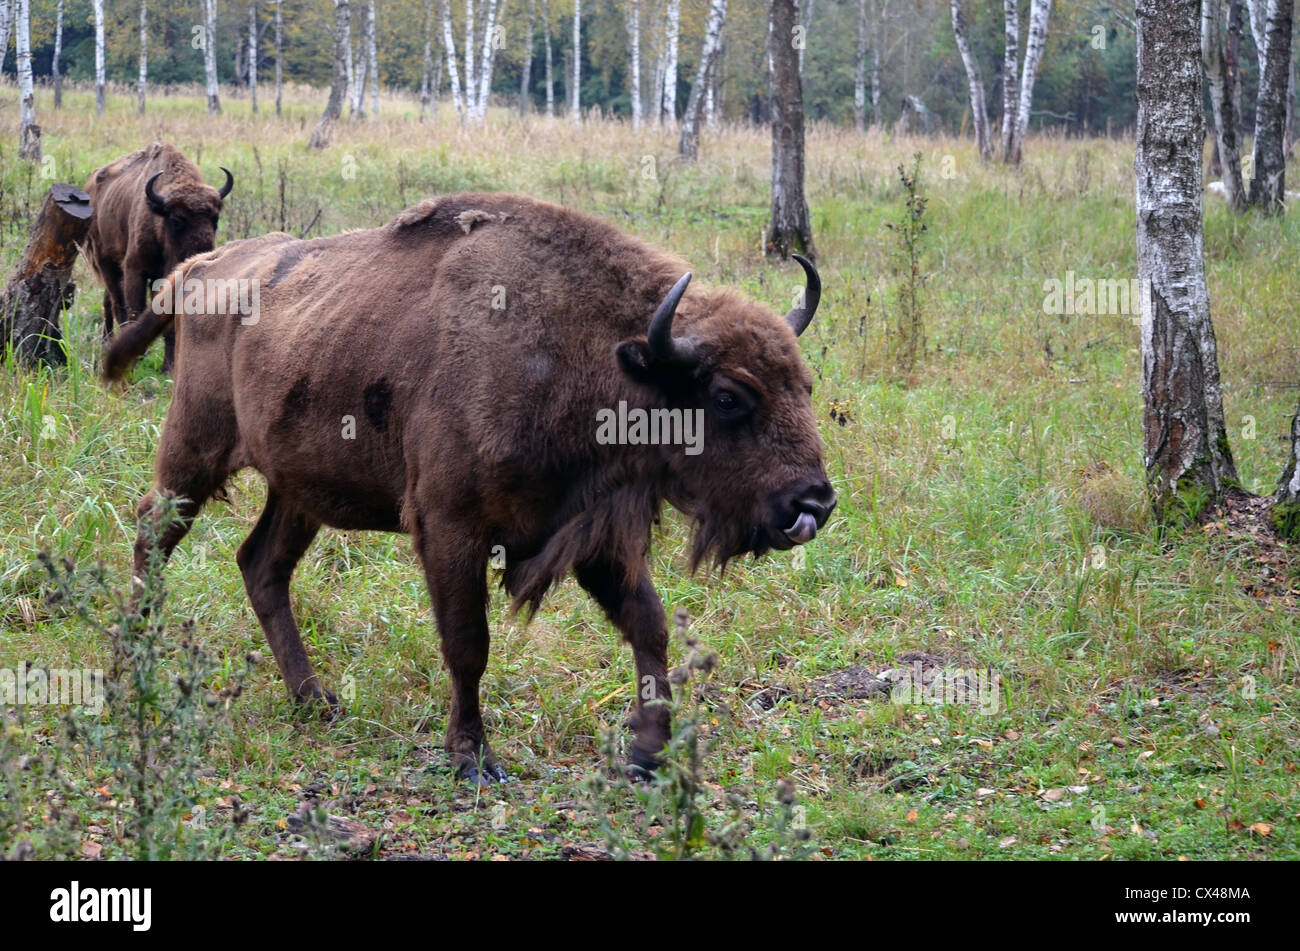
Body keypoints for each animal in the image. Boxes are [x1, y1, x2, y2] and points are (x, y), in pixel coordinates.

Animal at [85, 141, 233, 371]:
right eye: (177, 220)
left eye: (215, 219)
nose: (202, 253)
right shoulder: (135, 270)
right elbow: (135, 311)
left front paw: (169, 366)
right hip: (104, 260)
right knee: (116, 301)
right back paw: (109, 342)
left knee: (108, 299)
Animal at [103, 193, 836, 782]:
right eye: (728, 396)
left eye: (803, 384)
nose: (815, 502)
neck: (592, 354)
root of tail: (196, 272)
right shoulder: (452, 529)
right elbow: (468, 643)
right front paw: (473, 757)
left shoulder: (592, 534)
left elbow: (648, 627)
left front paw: (647, 754)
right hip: (194, 454)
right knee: (152, 529)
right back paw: (128, 664)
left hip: (298, 488)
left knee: (261, 564)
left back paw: (316, 700)